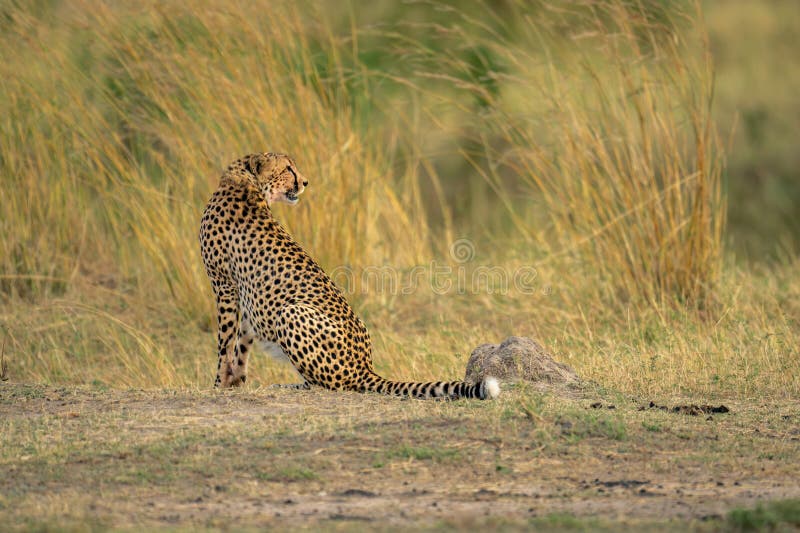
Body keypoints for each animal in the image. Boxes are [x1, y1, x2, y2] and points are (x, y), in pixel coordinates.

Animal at [199, 152, 500, 400]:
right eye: (287, 168)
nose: (305, 182)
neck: (246, 182)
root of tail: (364, 366)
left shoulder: (223, 284)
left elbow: (225, 342)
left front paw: (218, 385)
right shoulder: (239, 291)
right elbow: (241, 343)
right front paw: (235, 382)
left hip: (291, 312)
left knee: (328, 386)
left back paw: (287, 386)